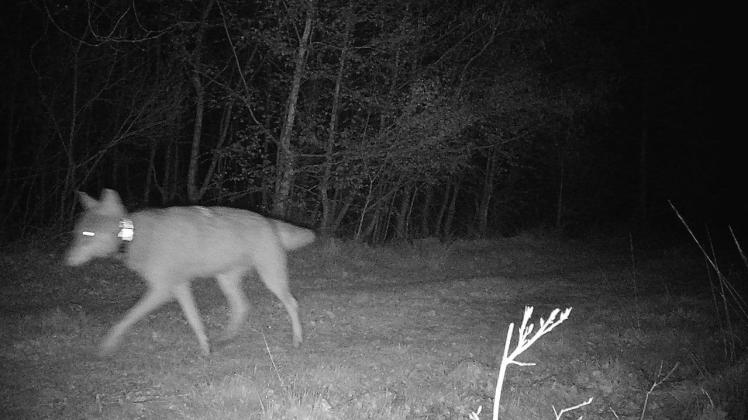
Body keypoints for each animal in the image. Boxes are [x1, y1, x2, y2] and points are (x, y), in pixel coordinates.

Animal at [65, 189, 315, 356]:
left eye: (87, 235)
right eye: (77, 234)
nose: (66, 261)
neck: (133, 236)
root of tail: (269, 221)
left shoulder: (163, 290)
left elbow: (127, 318)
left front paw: (107, 345)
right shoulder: (179, 287)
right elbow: (195, 320)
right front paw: (206, 347)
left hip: (271, 280)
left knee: (292, 304)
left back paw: (297, 340)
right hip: (226, 281)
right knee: (242, 307)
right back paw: (226, 338)